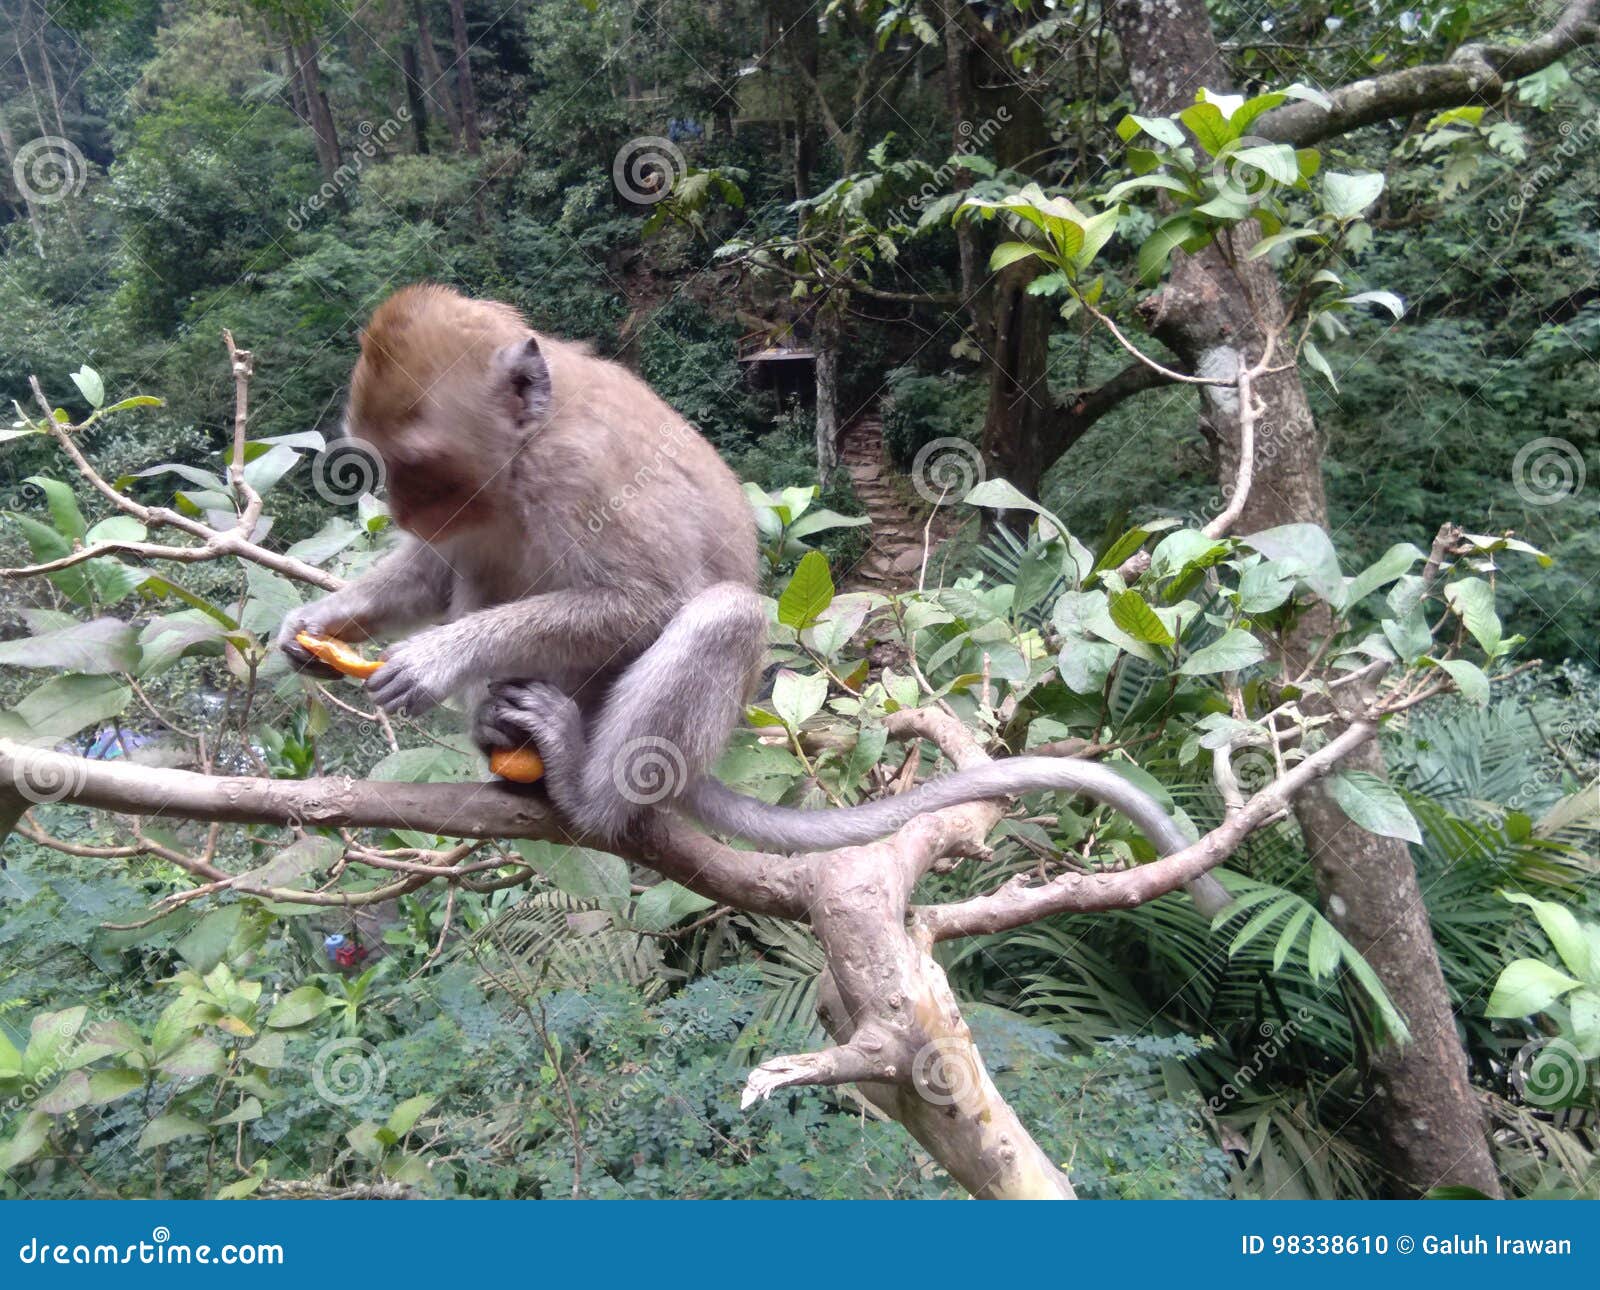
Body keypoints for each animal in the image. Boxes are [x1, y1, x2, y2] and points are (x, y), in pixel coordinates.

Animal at [279, 285, 1230, 915]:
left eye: (425, 467)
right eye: (382, 463)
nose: (404, 508)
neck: (521, 456)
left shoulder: (579, 474)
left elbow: (647, 599)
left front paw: (440, 655)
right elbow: (440, 574)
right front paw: (316, 626)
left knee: (722, 616)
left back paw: (584, 787)